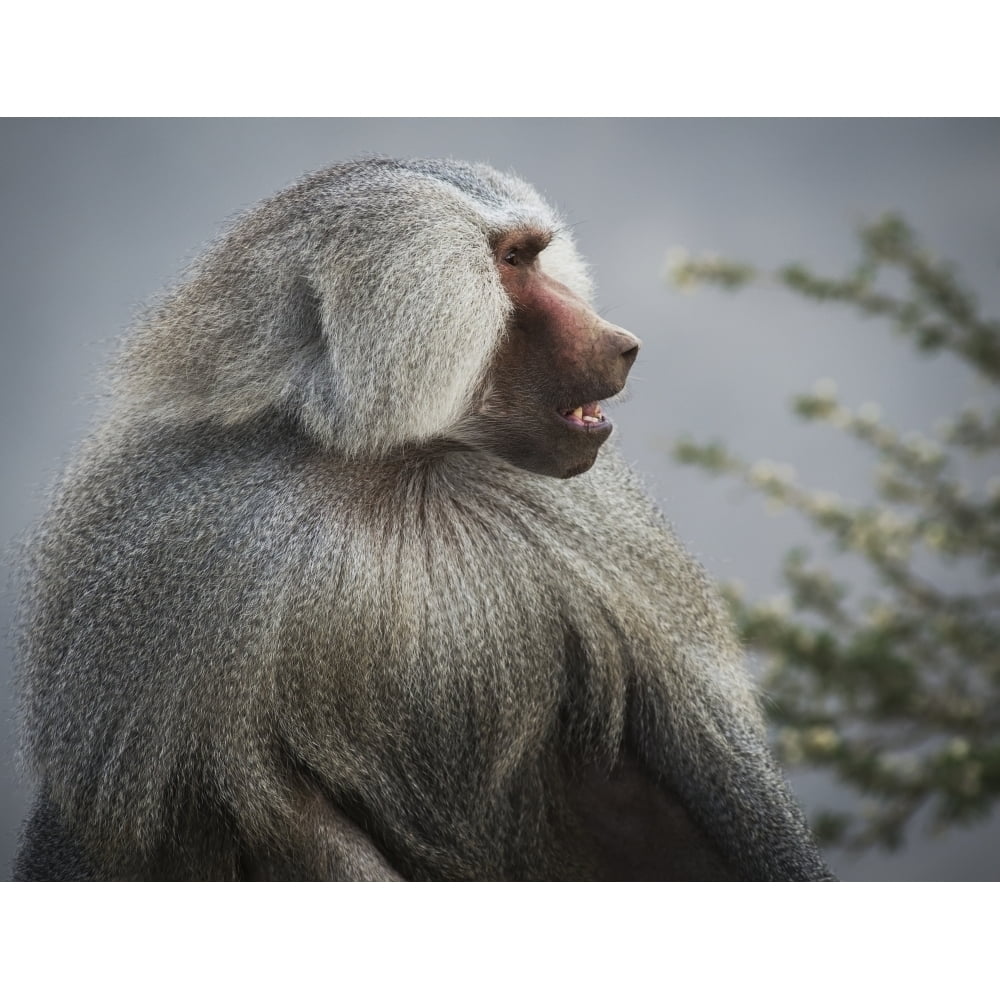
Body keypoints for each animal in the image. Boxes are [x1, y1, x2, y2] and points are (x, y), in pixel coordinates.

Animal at [12, 157, 835, 881]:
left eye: (537, 254)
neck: (399, 466)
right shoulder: (177, 549)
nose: (623, 345)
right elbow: (177, 821)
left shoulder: (599, 527)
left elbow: (717, 773)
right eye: (512, 260)